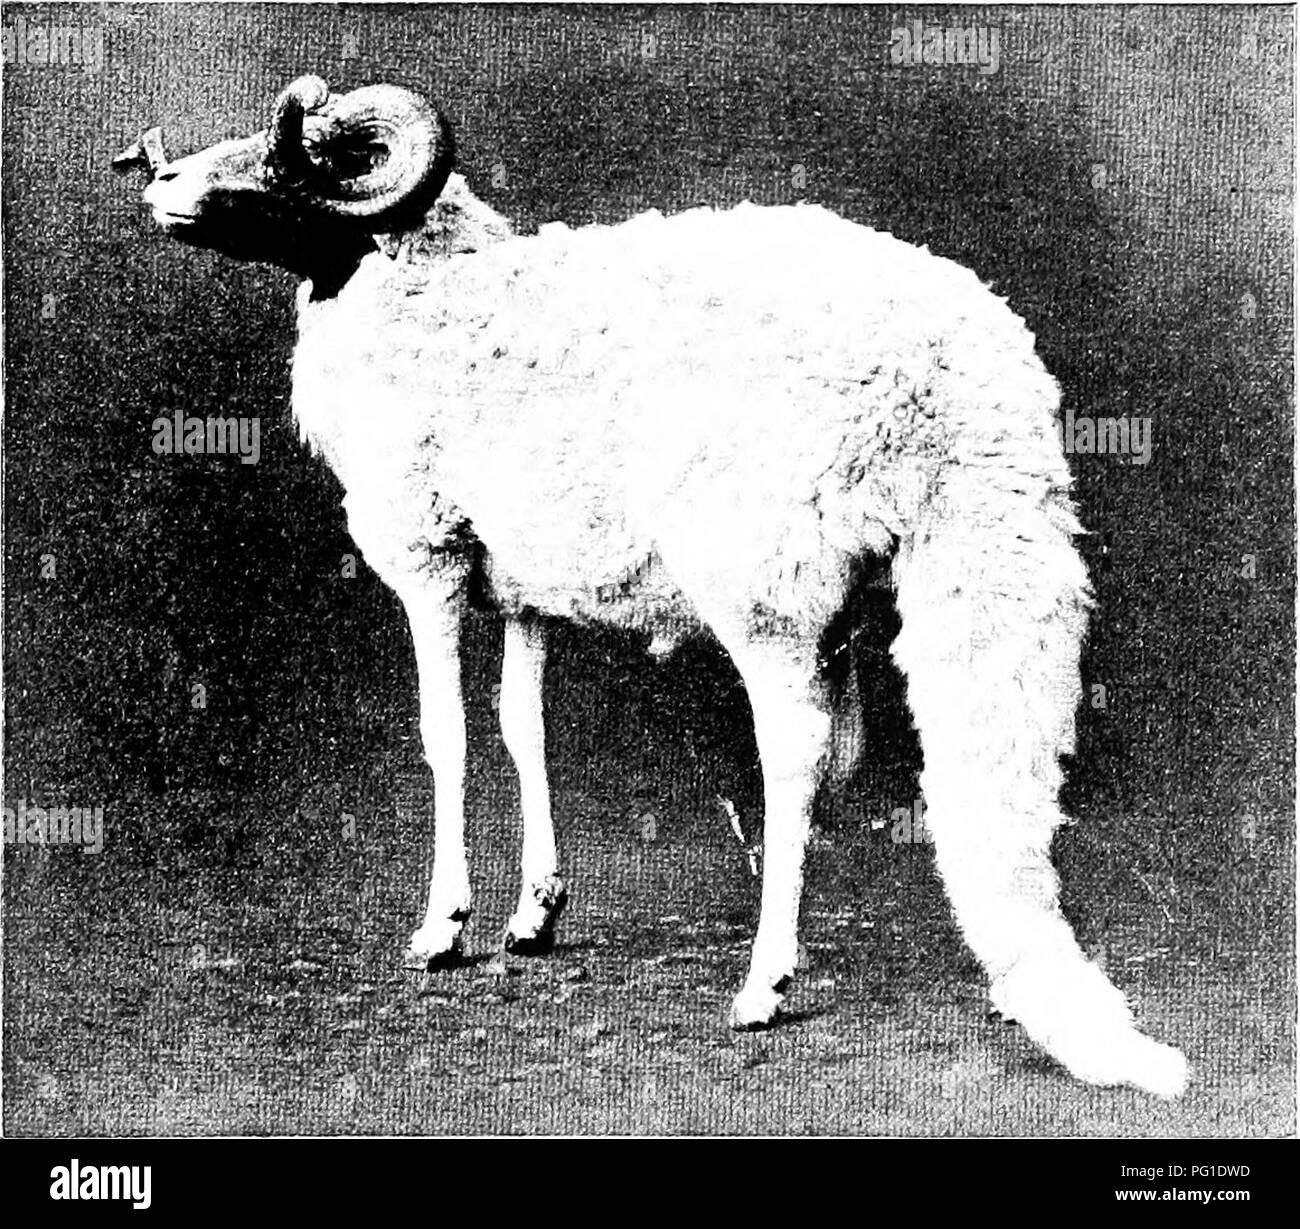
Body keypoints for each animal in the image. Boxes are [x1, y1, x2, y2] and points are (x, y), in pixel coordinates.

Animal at [115, 75, 1188, 1098]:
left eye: (306, 153)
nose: (159, 181)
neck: (427, 285)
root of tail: (959, 378)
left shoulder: (430, 558)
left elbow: (446, 735)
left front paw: (443, 924)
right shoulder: (525, 585)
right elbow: (522, 727)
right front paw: (534, 912)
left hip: (762, 582)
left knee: (796, 752)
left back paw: (765, 982)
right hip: (881, 576)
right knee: (847, 748)